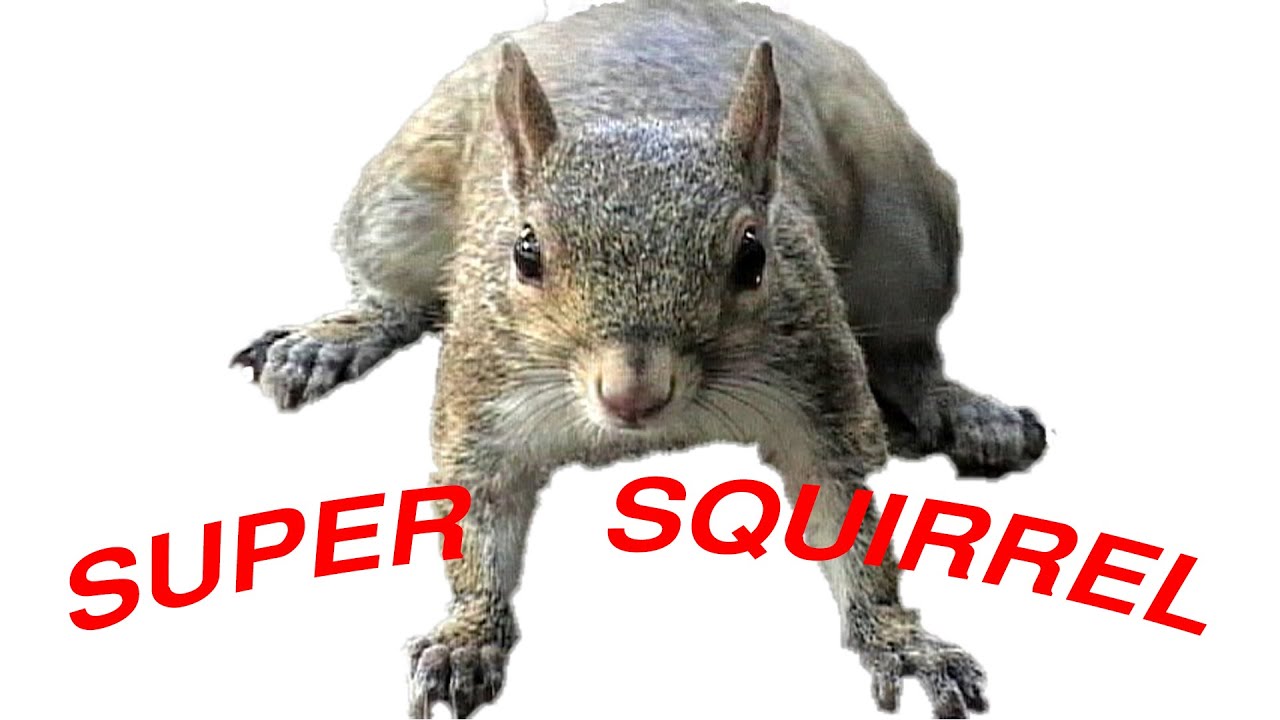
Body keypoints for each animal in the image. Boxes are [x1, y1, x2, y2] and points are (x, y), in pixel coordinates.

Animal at [231, 0, 1046, 716]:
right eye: (525, 252)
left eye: (754, 256)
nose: (633, 394)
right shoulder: (485, 397)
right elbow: (477, 516)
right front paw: (466, 635)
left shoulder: (812, 382)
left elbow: (844, 511)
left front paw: (899, 641)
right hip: (399, 195)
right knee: (391, 288)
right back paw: (334, 336)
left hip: (906, 226)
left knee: (909, 353)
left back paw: (957, 411)